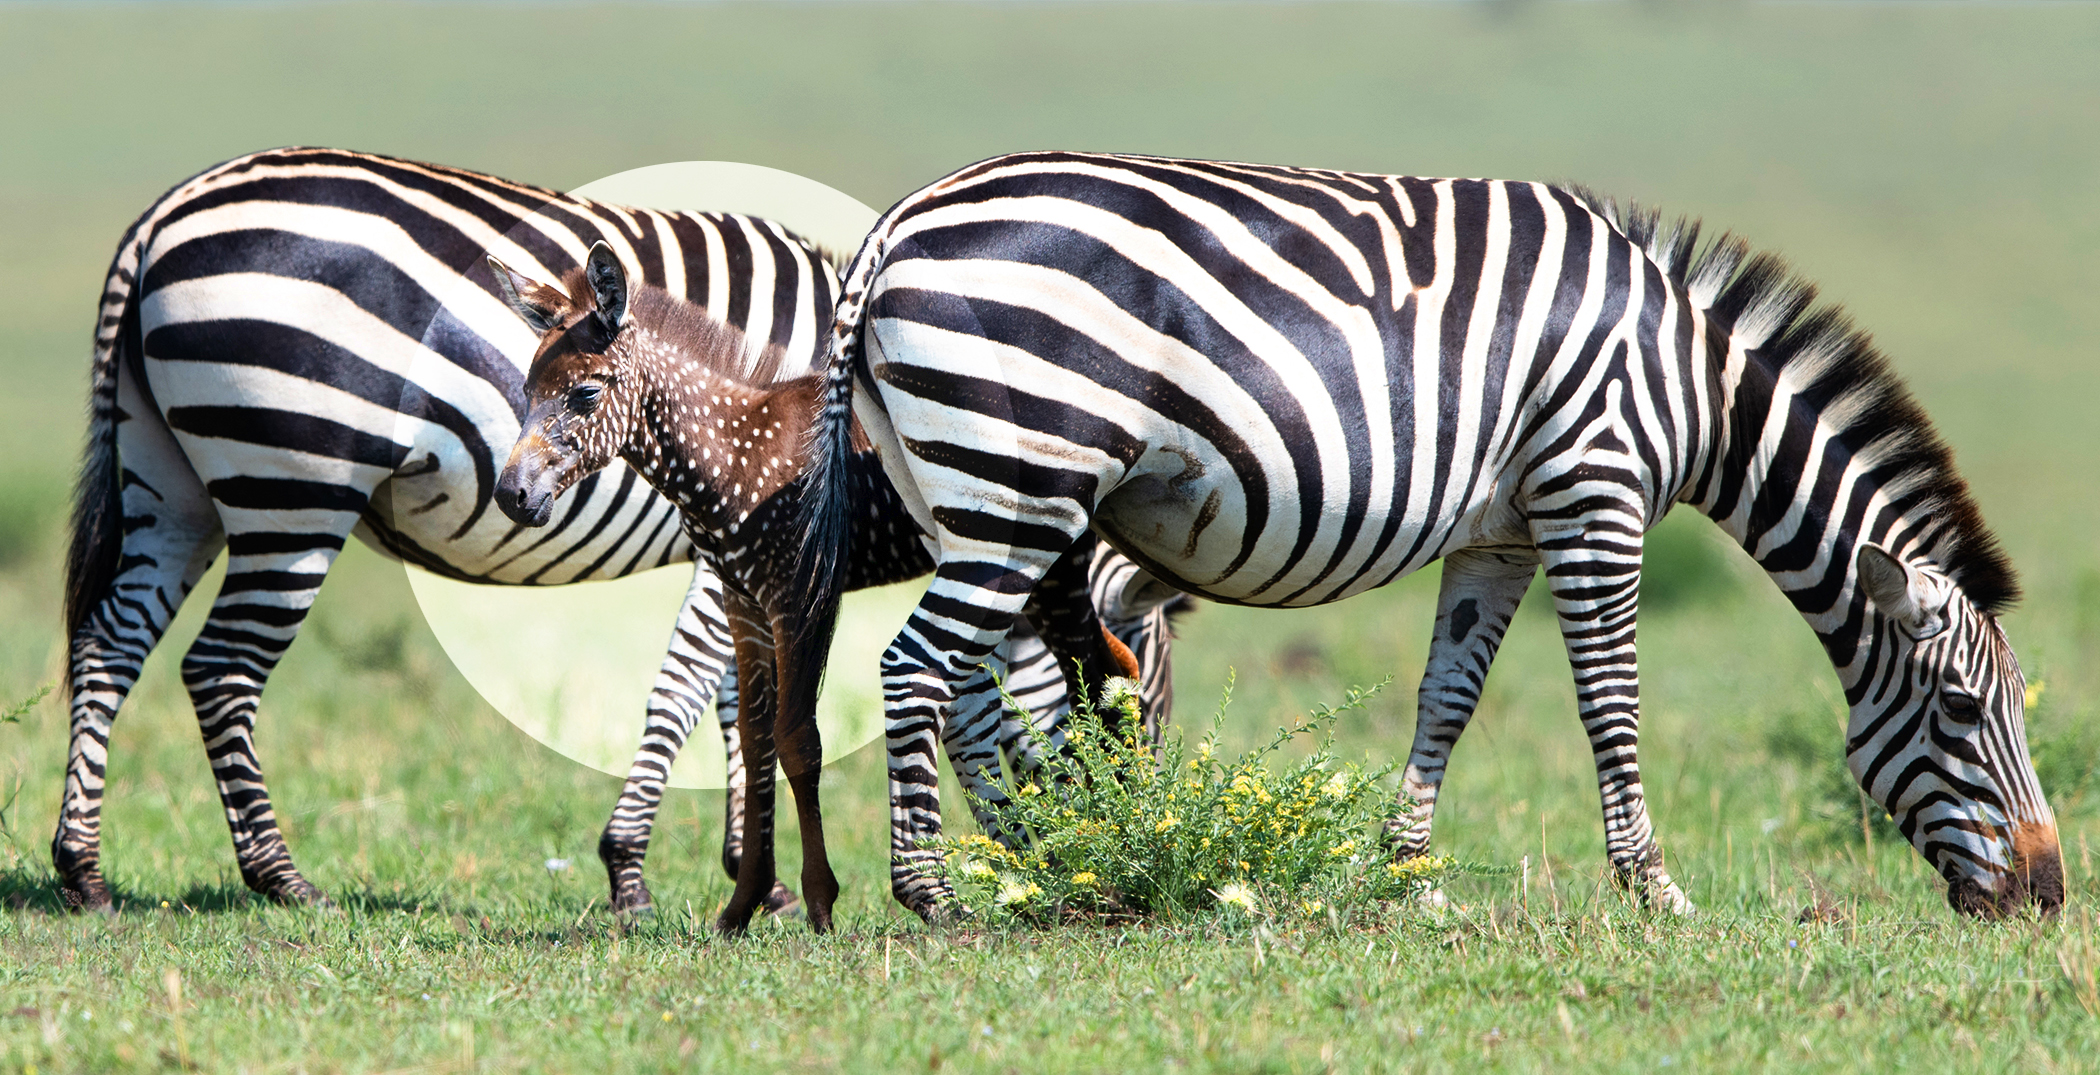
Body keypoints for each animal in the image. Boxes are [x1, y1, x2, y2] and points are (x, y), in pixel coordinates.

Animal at [56, 147, 1174, 916]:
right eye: (1142, 700)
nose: (1121, 836)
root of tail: (165, 213)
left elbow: (736, 697)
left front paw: (749, 874)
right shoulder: (745, 537)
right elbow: (697, 689)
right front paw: (638, 872)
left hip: (175, 479)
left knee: (111, 644)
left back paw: (85, 871)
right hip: (293, 479)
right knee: (220, 667)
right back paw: (283, 877)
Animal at [791, 151, 2063, 921]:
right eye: (1964, 712)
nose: (2050, 894)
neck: (1691, 389)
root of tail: (895, 226)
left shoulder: (1500, 534)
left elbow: (1447, 696)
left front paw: (1408, 875)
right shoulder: (1593, 487)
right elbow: (1610, 698)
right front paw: (1654, 890)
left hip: (967, 491)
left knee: (966, 684)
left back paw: (1031, 864)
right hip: (1021, 482)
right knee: (915, 669)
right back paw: (936, 896)